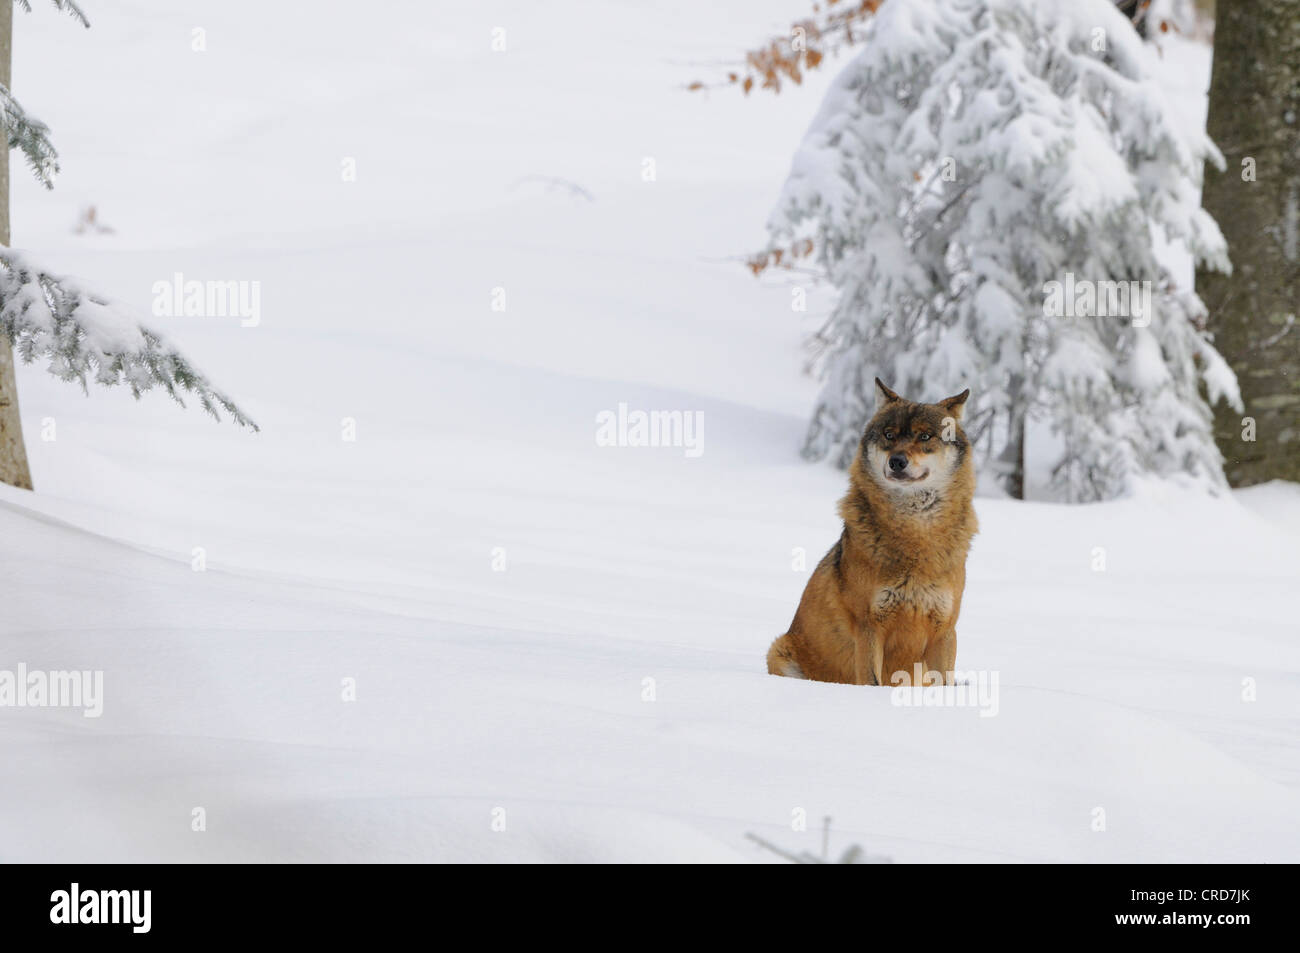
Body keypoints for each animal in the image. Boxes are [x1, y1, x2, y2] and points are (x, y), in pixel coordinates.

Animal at [767, 379, 977, 686]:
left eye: (925, 436)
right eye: (889, 435)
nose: (897, 461)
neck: (916, 535)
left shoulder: (945, 631)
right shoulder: (869, 627)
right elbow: (871, 680)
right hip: (779, 651)